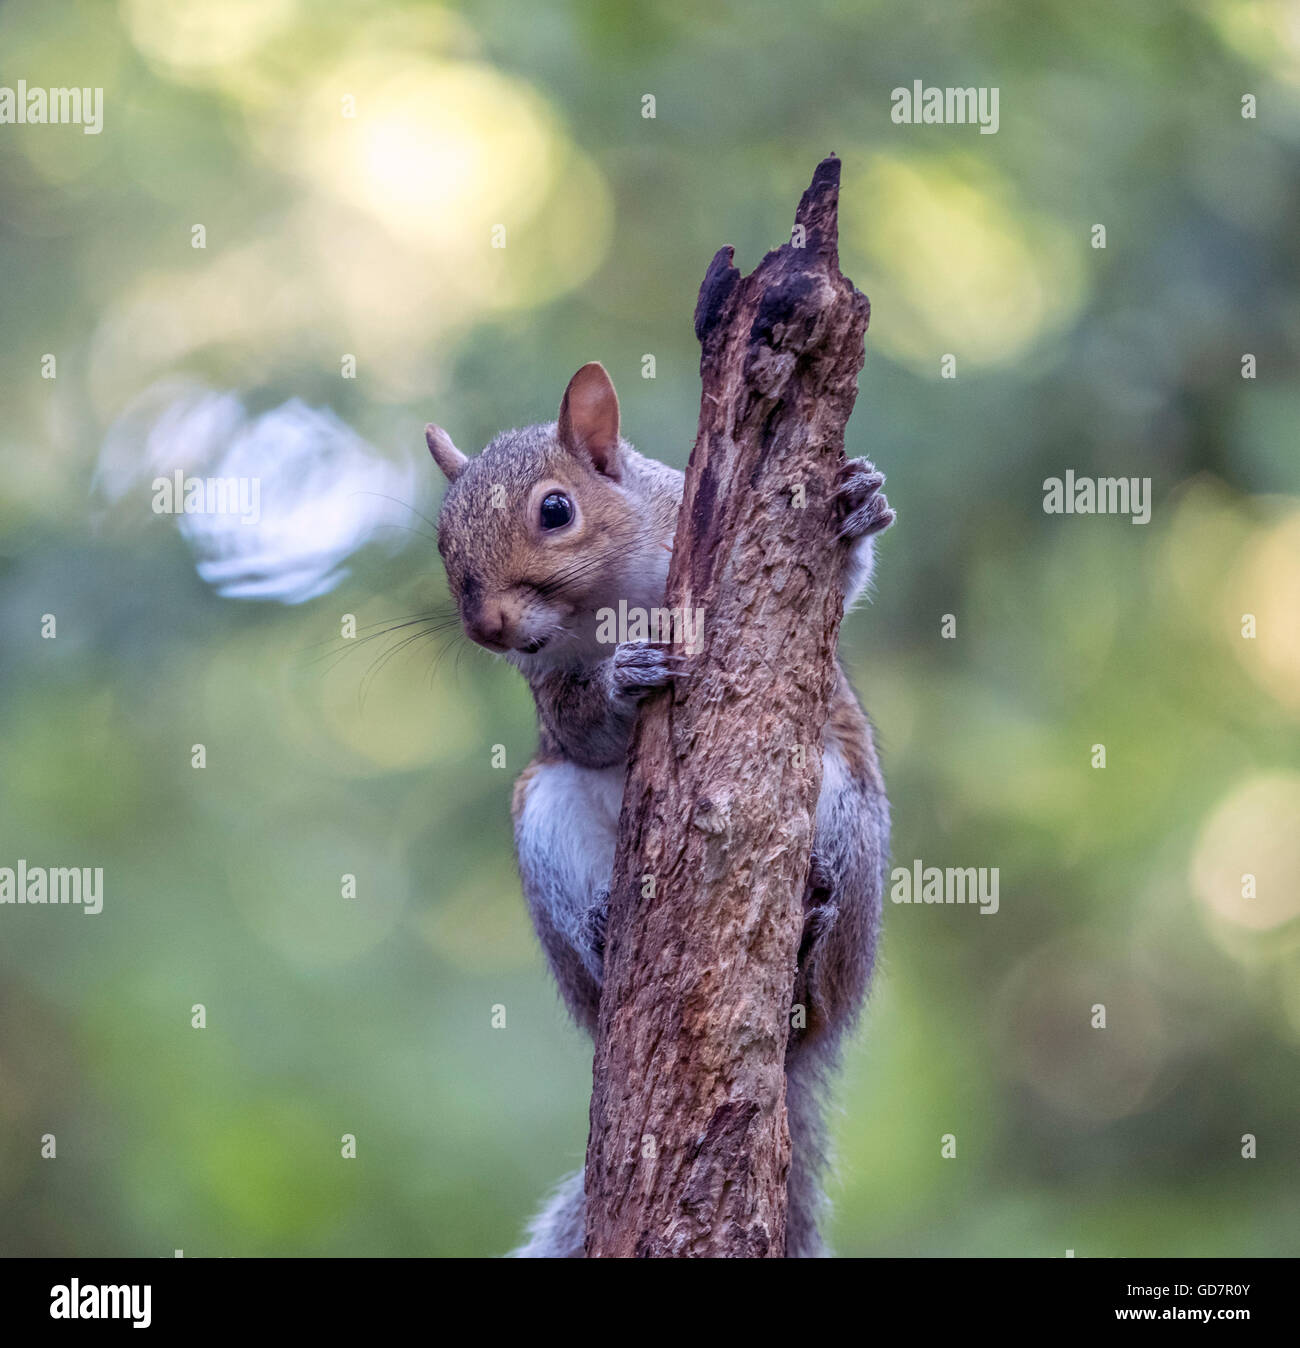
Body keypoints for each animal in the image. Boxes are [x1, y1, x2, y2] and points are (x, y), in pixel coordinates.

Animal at [427, 361, 894, 1258]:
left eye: (555, 510)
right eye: (441, 540)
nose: (488, 626)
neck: (604, 601)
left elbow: (832, 592)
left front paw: (857, 505)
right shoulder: (549, 692)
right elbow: (581, 726)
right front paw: (623, 677)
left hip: (844, 805)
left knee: (819, 983)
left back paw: (814, 924)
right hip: (542, 815)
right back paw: (604, 926)